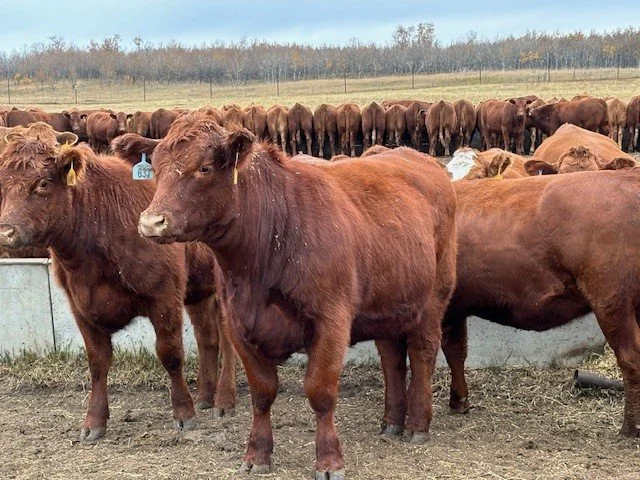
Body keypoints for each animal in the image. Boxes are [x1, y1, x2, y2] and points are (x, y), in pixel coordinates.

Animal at [0, 129, 237, 442]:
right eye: (2, 182)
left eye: (43, 183)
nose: (6, 231)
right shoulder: (79, 307)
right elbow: (98, 362)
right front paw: (94, 422)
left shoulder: (164, 297)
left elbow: (170, 354)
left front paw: (184, 414)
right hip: (198, 291)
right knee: (207, 337)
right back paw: (205, 396)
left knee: (227, 340)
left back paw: (224, 401)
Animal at [137, 113, 457, 477]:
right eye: (156, 168)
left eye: (204, 168)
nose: (151, 222)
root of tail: (419, 159)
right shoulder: (238, 326)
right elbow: (262, 393)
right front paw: (257, 453)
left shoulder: (331, 322)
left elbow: (320, 391)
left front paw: (329, 460)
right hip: (388, 305)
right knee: (391, 359)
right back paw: (392, 421)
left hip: (433, 299)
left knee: (422, 353)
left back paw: (417, 424)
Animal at [444, 172, 640, 439]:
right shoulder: (456, 309)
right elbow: (457, 351)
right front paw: (460, 401)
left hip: (612, 301)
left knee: (631, 359)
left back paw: (629, 428)